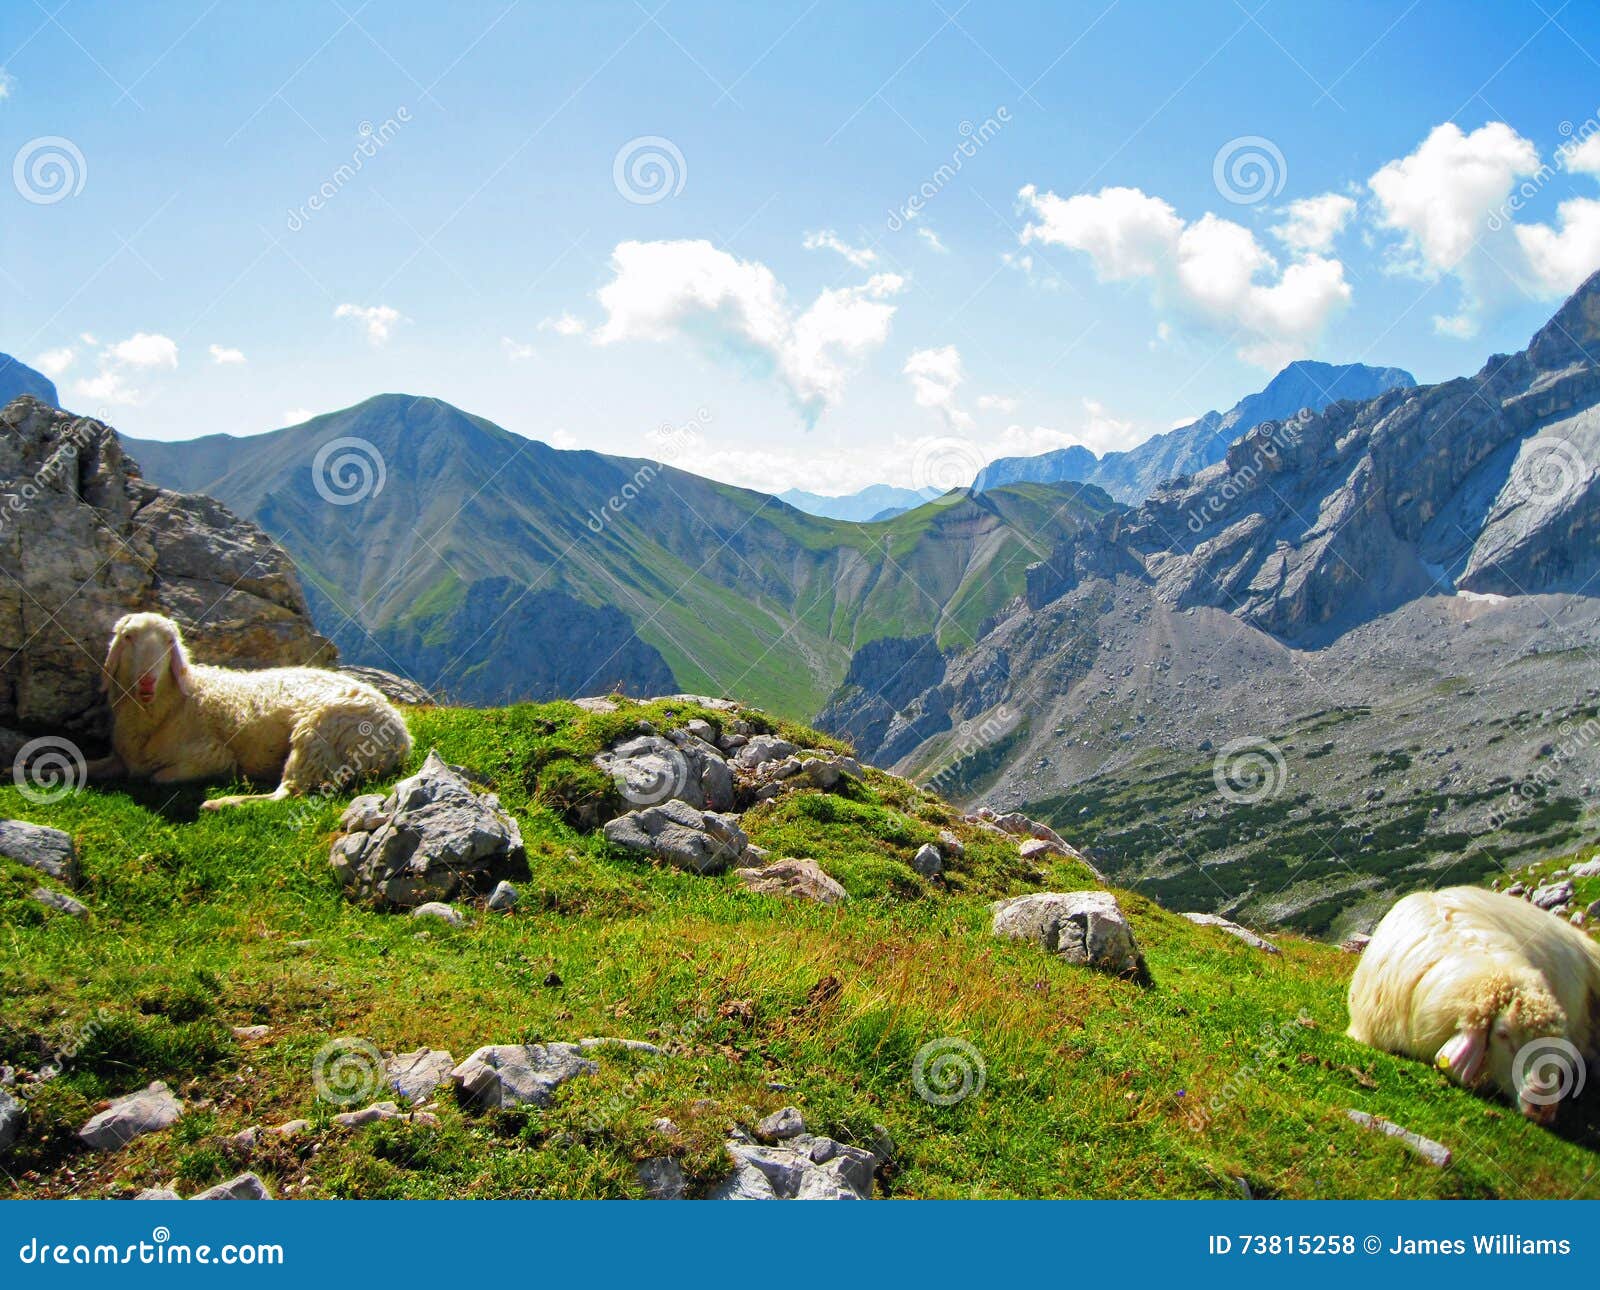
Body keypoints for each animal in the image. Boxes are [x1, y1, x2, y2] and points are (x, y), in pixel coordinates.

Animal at [90, 612, 412, 809]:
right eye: (128, 637)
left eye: (170, 642)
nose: (147, 681)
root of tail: (401, 736)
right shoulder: (120, 757)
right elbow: (86, 767)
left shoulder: (212, 757)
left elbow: (154, 777)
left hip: (316, 736)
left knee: (287, 793)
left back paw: (222, 802)